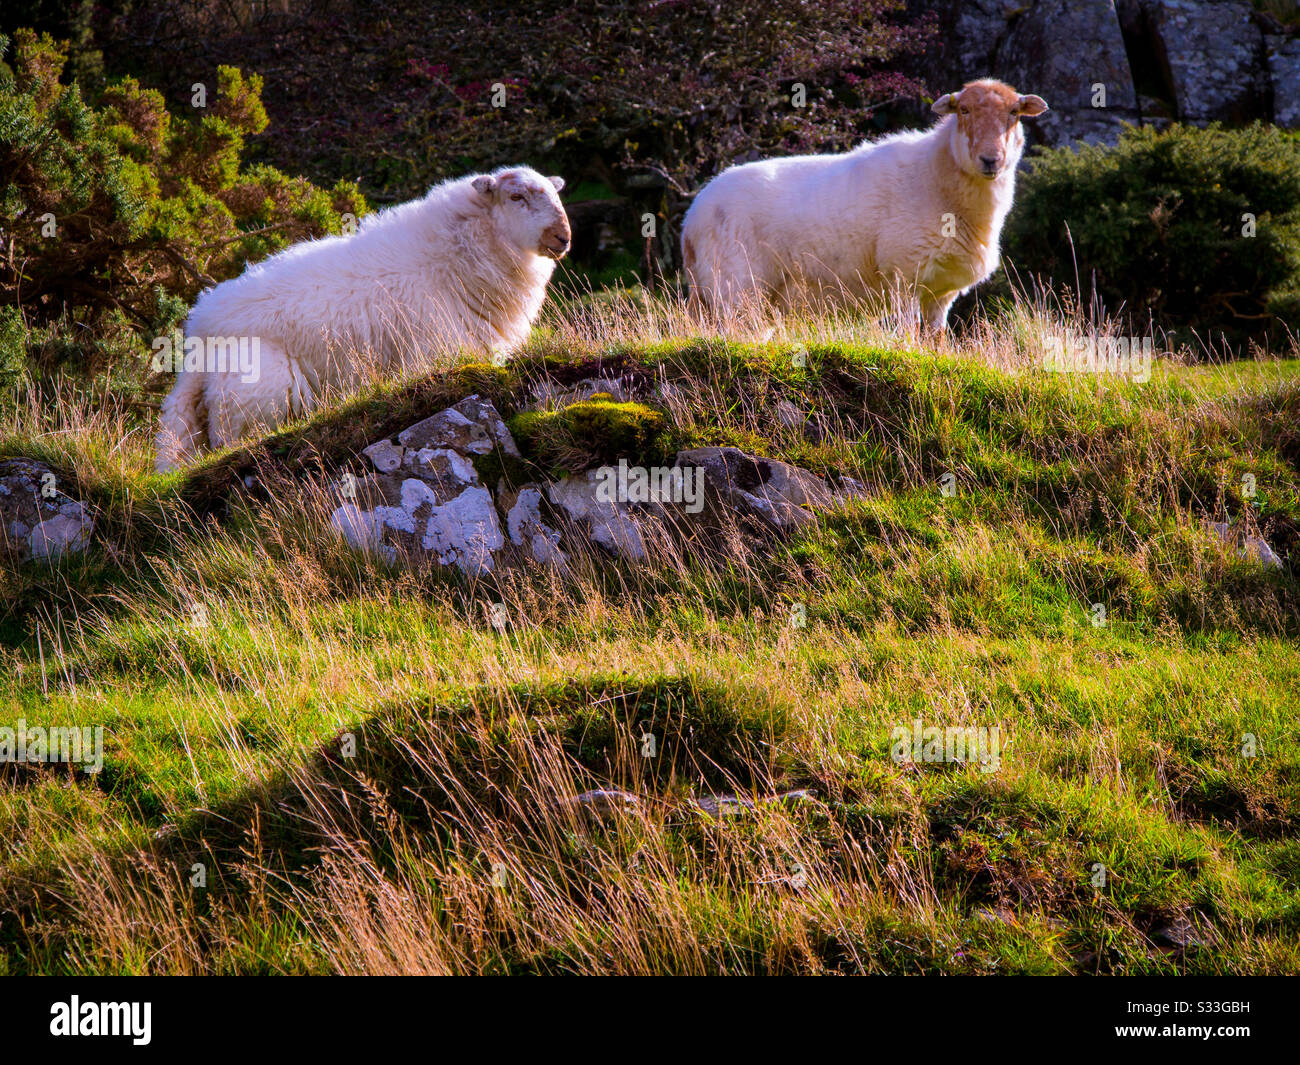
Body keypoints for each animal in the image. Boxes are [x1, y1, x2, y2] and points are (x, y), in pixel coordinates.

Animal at [155, 166, 571, 471]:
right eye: (516, 197)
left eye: (555, 196)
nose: (563, 237)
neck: (452, 257)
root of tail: (198, 338)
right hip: (253, 399)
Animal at [681, 79, 1048, 333]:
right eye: (964, 110)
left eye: (1014, 113)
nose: (990, 160)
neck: (935, 173)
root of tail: (691, 221)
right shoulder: (903, 274)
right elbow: (909, 335)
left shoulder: (941, 292)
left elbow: (935, 341)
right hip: (736, 287)